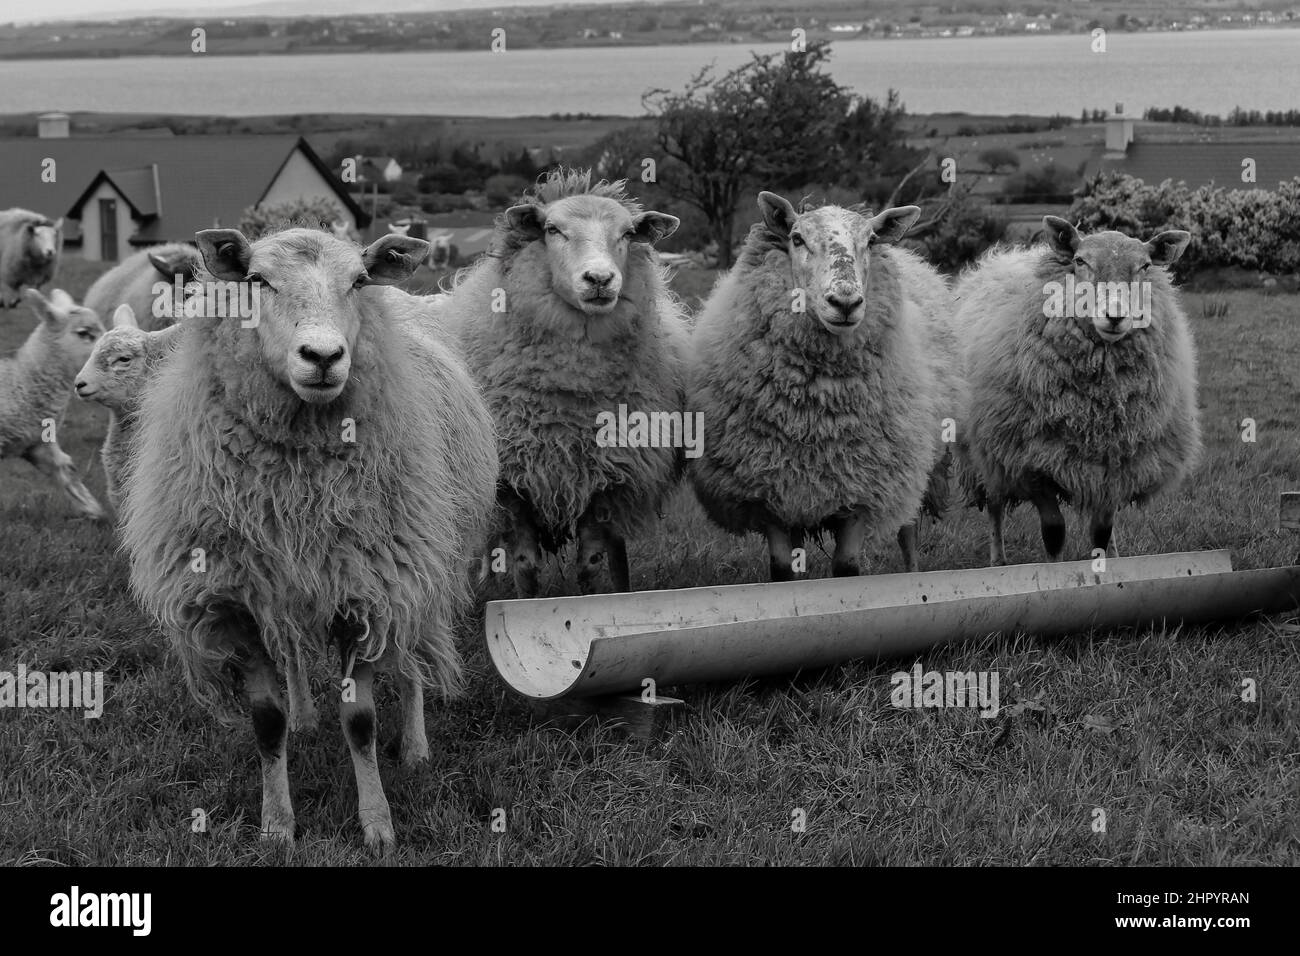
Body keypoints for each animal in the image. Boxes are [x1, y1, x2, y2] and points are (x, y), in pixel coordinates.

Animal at [121, 227, 498, 852]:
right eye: (257, 280)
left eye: (359, 281)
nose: (322, 357)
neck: (295, 490)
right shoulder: (236, 601)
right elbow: (265, 722)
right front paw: (277, 823)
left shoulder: (367, 590)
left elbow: (361, 723)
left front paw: (377, 824)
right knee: (295, 650)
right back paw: (303, 716)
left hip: (421, 564)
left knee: (411, 660)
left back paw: (415, 747)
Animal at [439, 167, 686, 596]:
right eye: (553, 230)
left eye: (627, 233)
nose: (600, 279)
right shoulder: (512, 484)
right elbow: (524, 565)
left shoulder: (606, 478)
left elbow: (592, 563)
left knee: (616, 550)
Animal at [687, 192, 963, 581]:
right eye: (797, 238)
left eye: (871, 240)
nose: (845, 303)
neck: (815, 409)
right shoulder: (767, 492)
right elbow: (781, 570)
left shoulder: (862, 492)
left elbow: (846, 567)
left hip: (917, 466)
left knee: (907, 530)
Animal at [953, 216, 1201, 564]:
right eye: (1081, 261)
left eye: (1145, 265)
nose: (1115, 316)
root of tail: (1007, 255)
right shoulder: (1033, 463)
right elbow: (1054, 531)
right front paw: (1055, 570)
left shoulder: (1115, 466)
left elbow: (1101, 532)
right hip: (985, 452)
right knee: (995, 504)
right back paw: (997, 560)